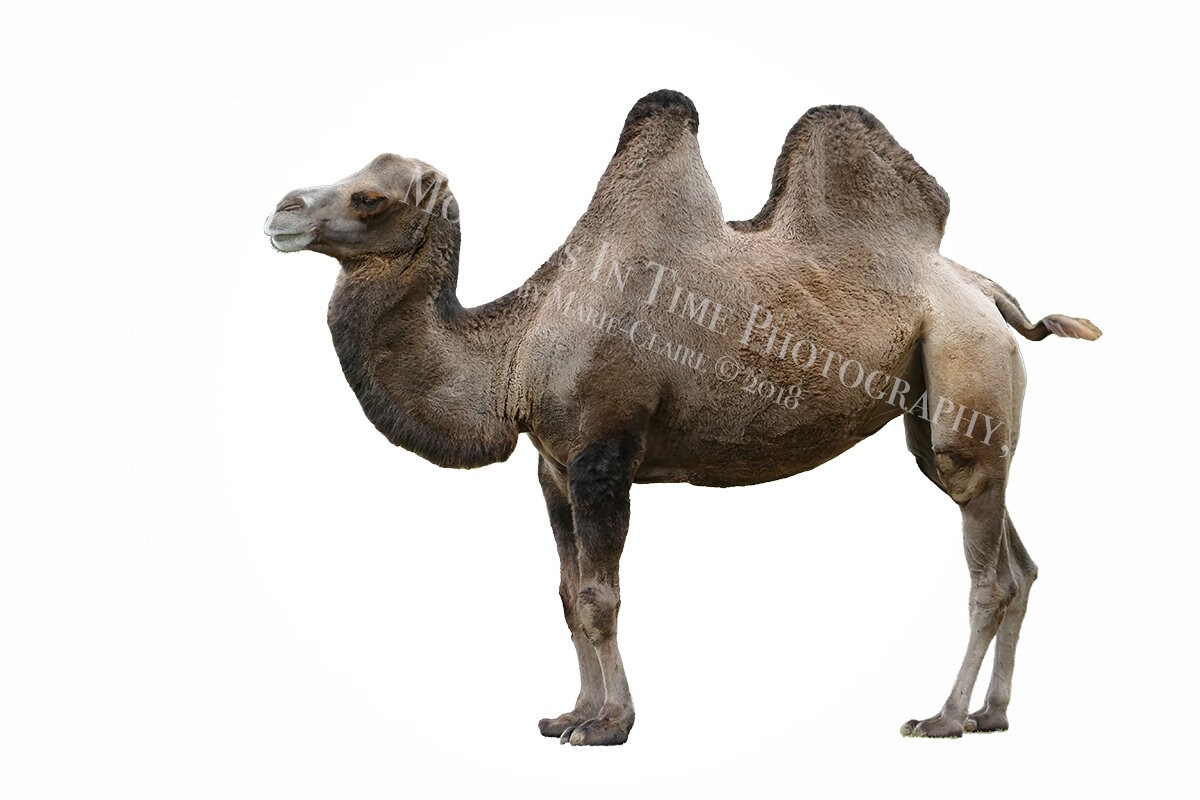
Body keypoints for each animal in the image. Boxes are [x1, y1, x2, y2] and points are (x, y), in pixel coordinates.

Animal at [263, 90, 1101, 745]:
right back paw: (992, 715)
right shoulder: (553, 467)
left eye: (370, 197)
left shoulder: (605, 452)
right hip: (942, 404)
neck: (515, 351)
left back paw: (944, 718)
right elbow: (567, 597)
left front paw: (609, 726)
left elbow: (600, 598)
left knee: (985, 563)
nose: (281, 210)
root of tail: (987, 292)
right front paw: (569, 714)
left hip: (964, 362)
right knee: (1011, 554)